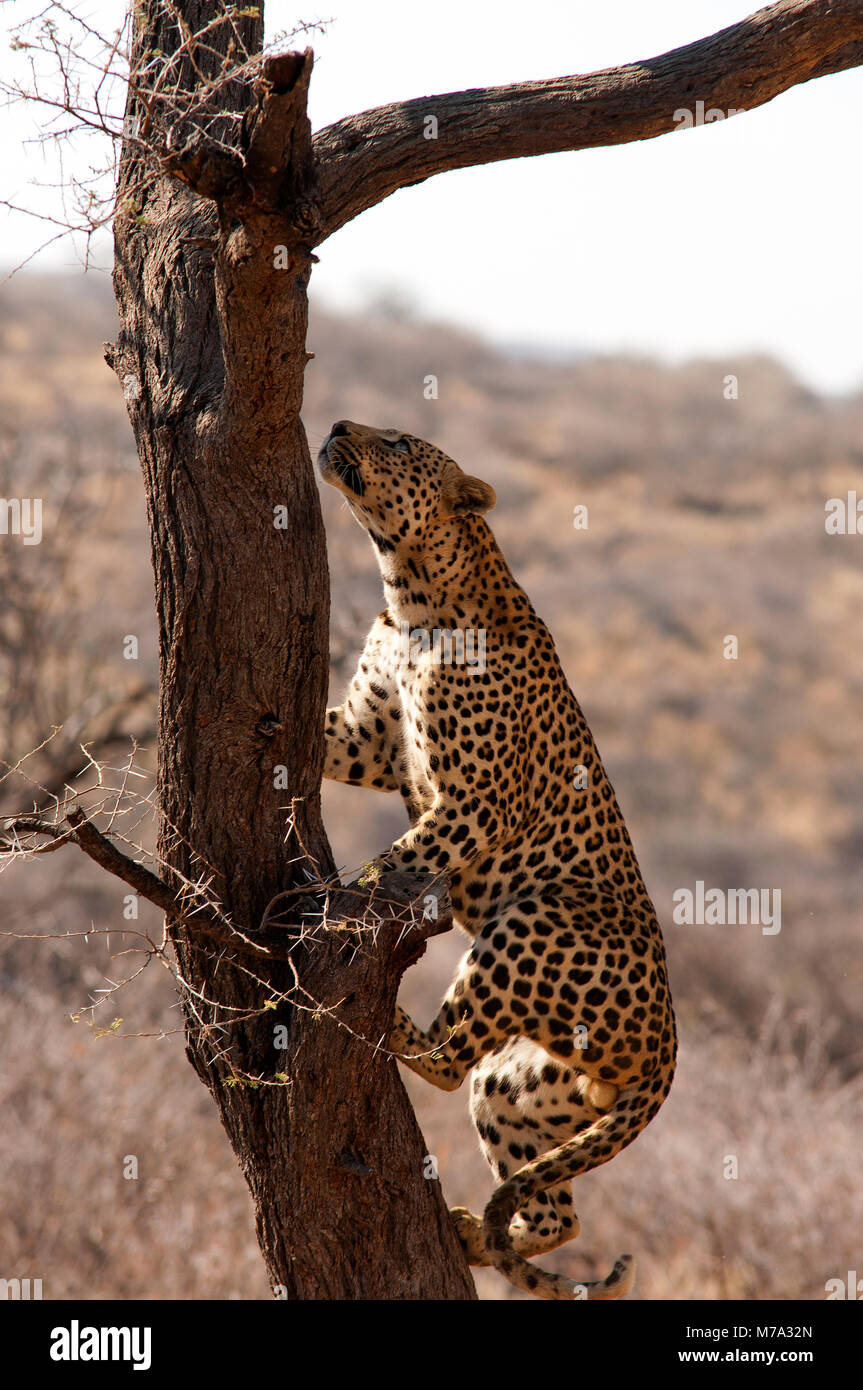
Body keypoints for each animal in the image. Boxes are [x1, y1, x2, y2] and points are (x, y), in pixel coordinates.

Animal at [317, 419, 677, 1301]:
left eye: (398, 439)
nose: (337, 424)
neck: (410, 597)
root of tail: (667, 1051)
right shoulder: (369, 739)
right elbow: (317, 737)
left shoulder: (477, 803)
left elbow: (396, 859)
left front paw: (337, 904)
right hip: (522, 1085)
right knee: (554, 1212)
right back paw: (473, 1234)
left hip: (538, 922)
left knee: (447, 1061)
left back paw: (388, 1018)